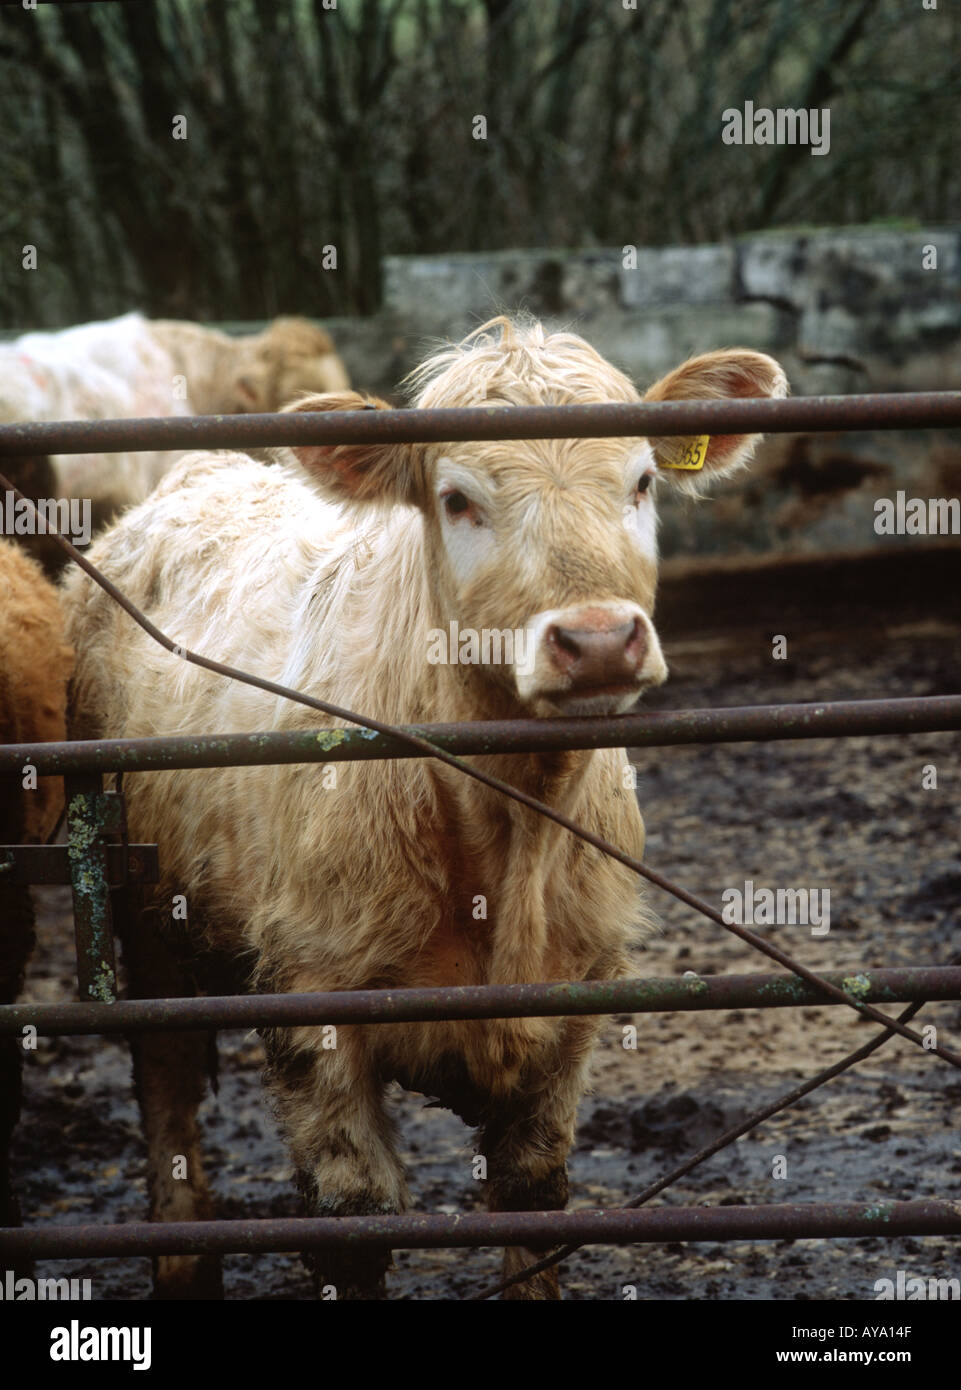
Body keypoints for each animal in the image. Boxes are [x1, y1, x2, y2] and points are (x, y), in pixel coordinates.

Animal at [61, 316, 787, 1298]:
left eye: (641, 481)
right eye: (456, 499)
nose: (598, 641)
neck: (508, 831)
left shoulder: (575, 1006)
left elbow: (531, 1201)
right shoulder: (313, 1006)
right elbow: (354, 1222)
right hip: (143, 923)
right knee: (166, 1094)